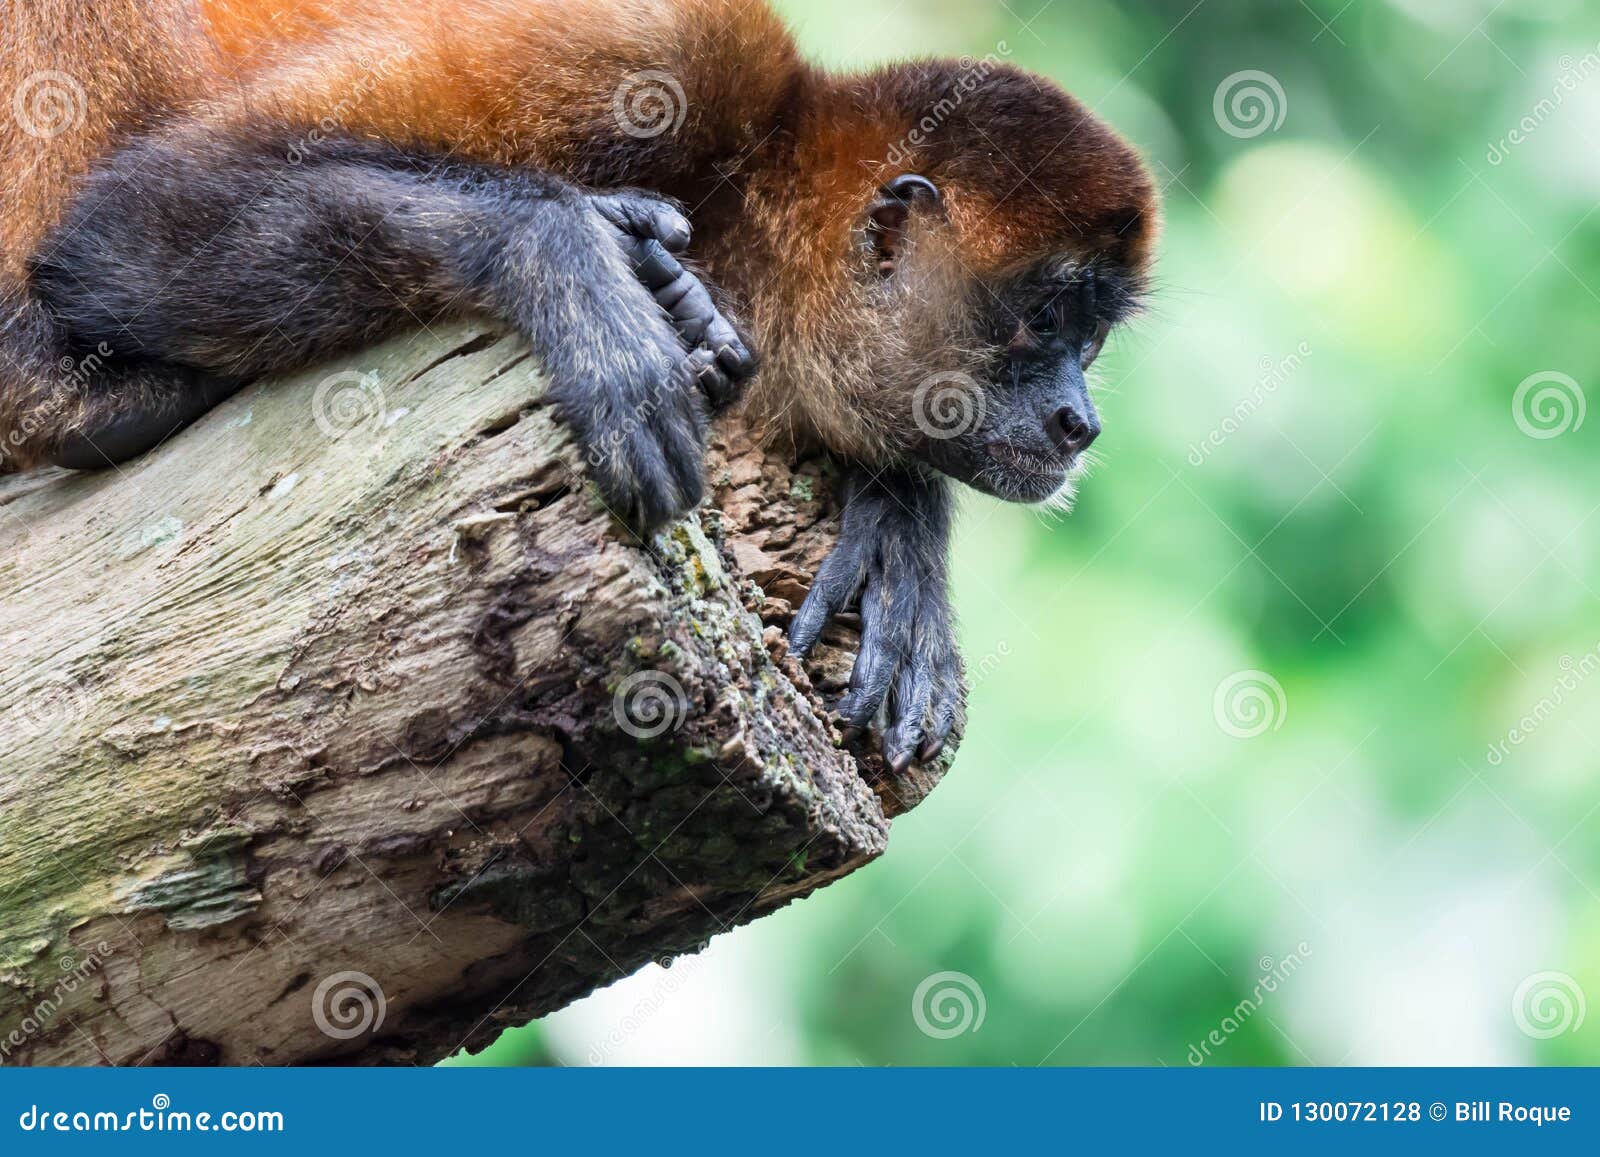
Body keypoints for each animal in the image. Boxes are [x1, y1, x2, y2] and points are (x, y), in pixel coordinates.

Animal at [0, 0, 1158, 772]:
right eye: (1047, 322)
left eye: (1092, 339)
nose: (1080, 421)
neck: (748, 190)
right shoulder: (662, 55)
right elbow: (124, 228)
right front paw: (569, 254)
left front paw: (901, 520)